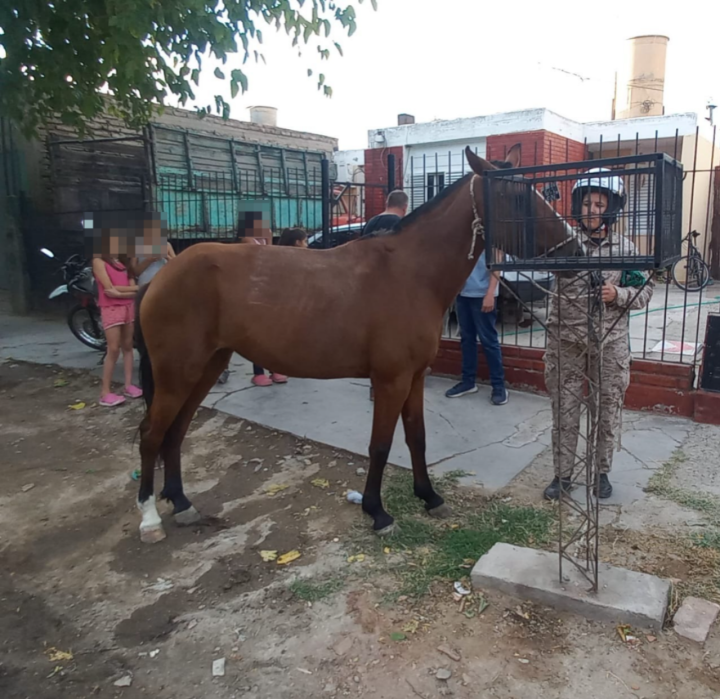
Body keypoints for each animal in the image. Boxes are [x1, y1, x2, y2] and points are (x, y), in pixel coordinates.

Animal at [133, 144, 574, 543]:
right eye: (516, 196)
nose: (576, 248)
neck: (410, 273)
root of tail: (161, 276)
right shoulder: (391, 380)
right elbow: (380, 445)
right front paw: (377, 512)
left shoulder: (416, 377)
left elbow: (417, 437)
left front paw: (429, 497)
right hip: (178, 373)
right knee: (152, 433)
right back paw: (150, 519)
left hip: (206, 366)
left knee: (176, 431)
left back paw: (182, 503)